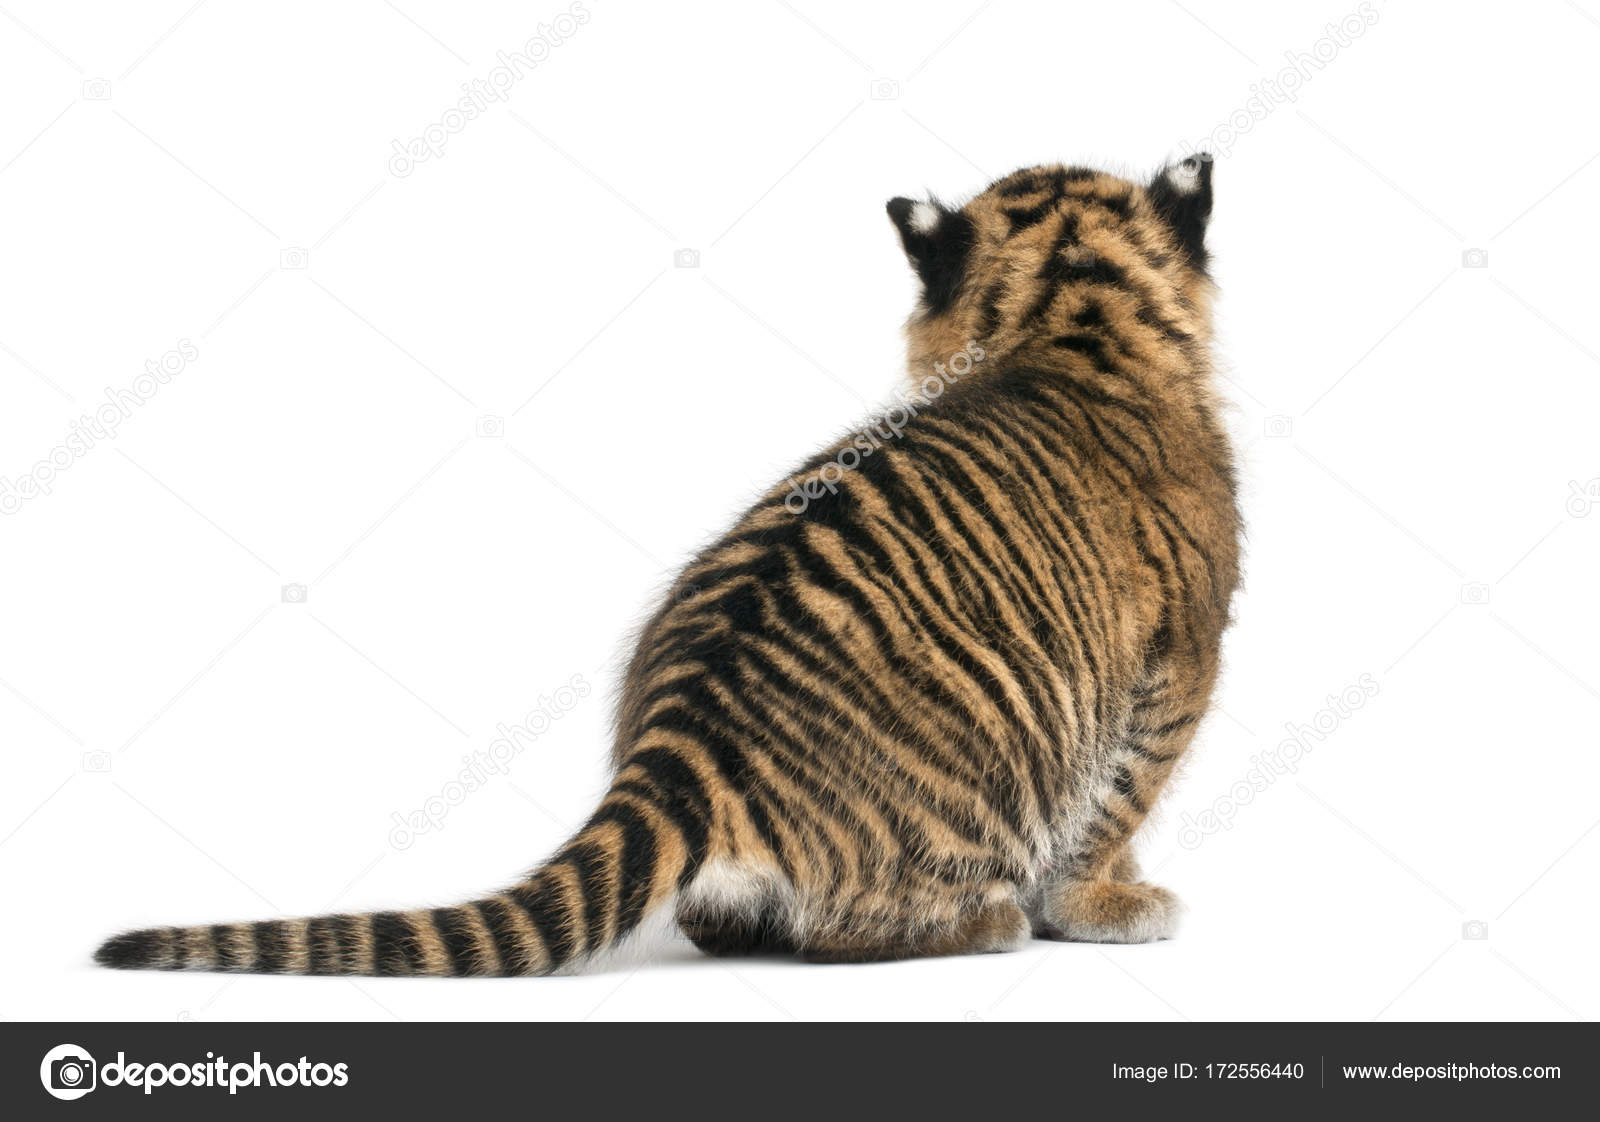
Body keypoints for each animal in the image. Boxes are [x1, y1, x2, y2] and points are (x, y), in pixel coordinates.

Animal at [96, 154, 1240, 975]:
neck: (1069, 328)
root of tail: (682, 742)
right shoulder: (1177, 667)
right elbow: (1120, 801)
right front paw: (1111, 903)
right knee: (849, 930)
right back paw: (988, 922)